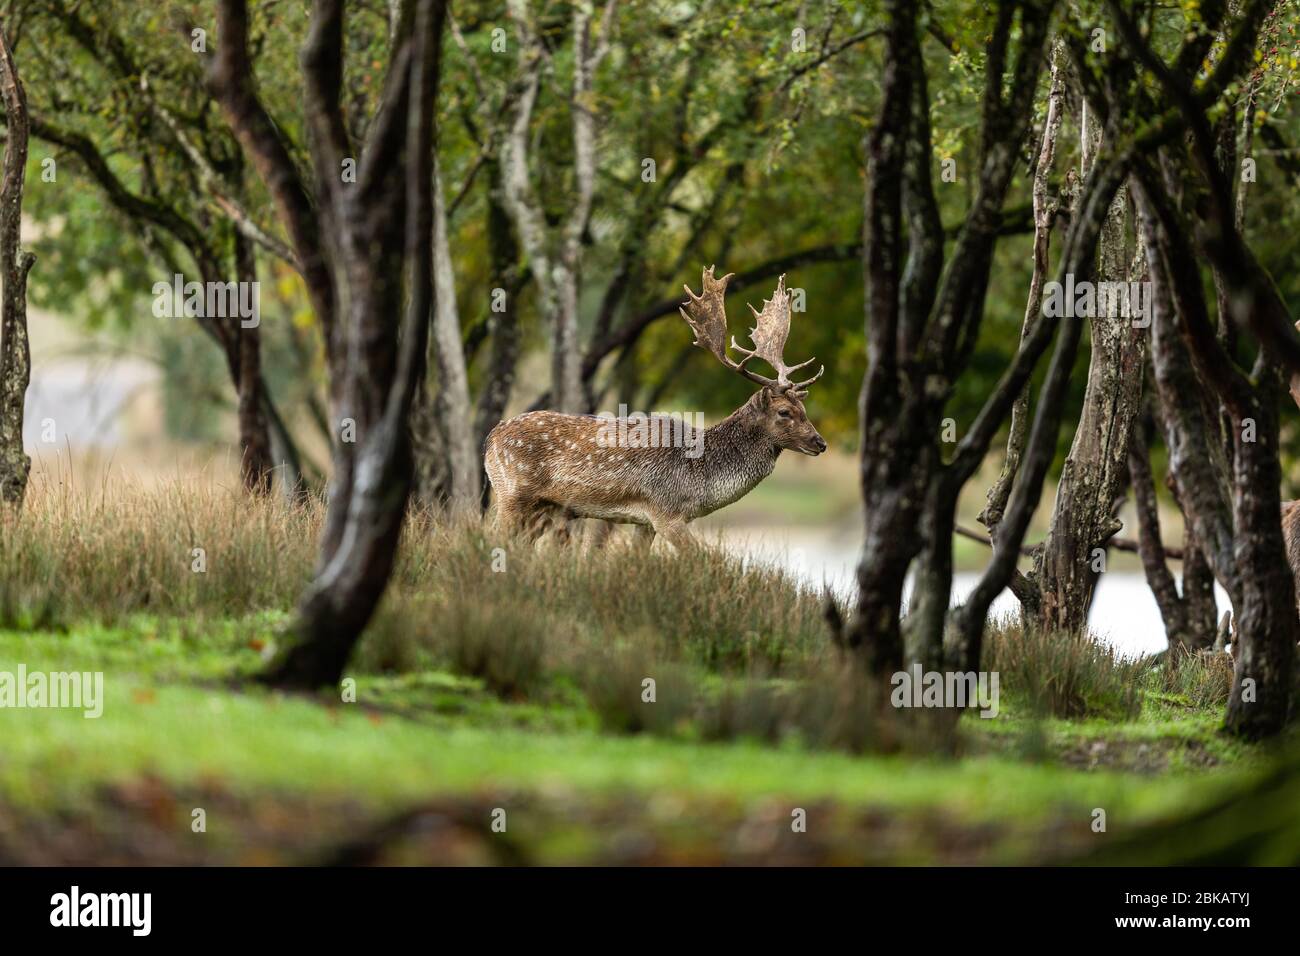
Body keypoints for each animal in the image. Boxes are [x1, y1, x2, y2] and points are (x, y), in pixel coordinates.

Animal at [484, 266, 827, 550]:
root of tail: (490, 438)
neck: (699, 479)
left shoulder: (645, 521)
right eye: (784, 412)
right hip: (512, 492)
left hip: (541, 507)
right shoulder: (666, 512)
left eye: (804, 409)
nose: (820, 443)